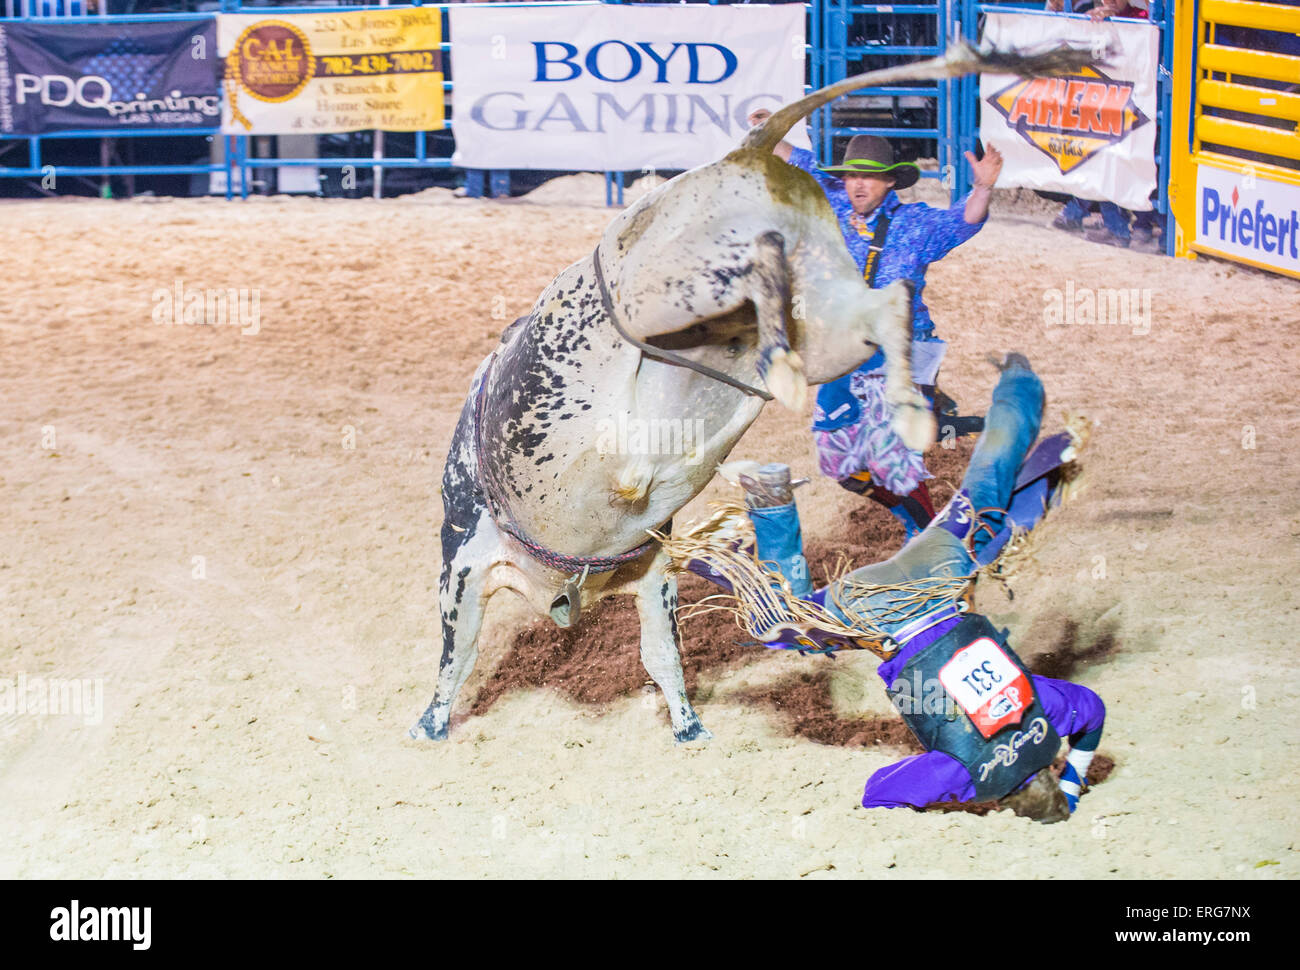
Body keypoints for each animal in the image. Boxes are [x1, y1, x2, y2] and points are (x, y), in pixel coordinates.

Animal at [410, 42, 1092, 743]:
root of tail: (744, 152)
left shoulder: (465, 562)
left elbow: (458, 653)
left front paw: (429, 725)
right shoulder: (650, 571)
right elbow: (661, 653)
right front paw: (689, 727)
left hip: (667, 288)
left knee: (758, 269)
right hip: (826, 320)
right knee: (885, 306)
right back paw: (892, 404)